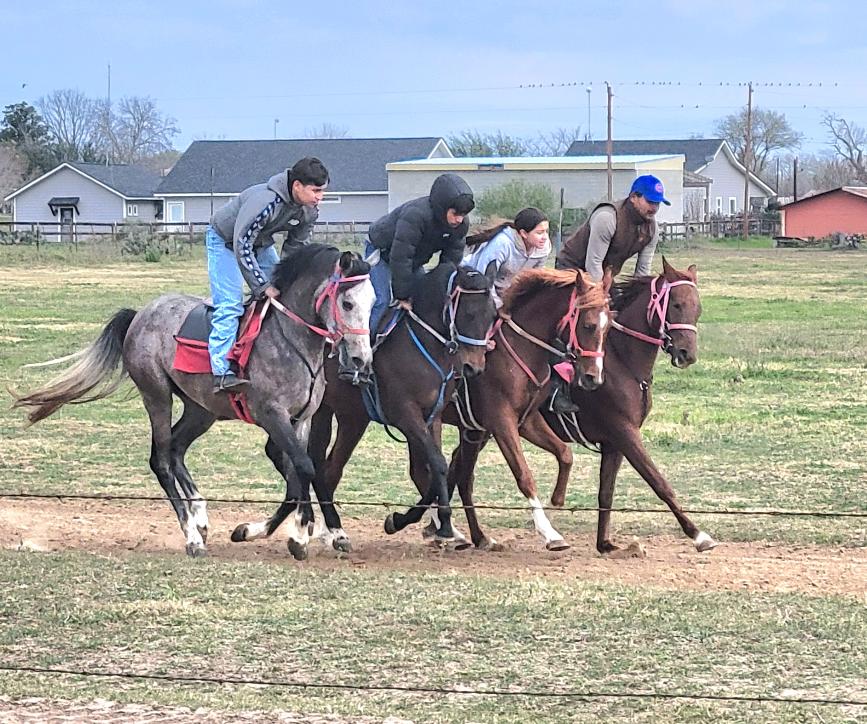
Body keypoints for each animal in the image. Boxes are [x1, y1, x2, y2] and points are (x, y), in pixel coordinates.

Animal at [12, 244, 376, 558]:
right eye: (347, 303)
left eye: (373, 303)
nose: (362, 359)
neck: (290, 340)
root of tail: (140, 314)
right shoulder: (273, 415)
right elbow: (302, 467)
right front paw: (300, 536)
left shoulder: (301, 419)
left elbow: (300, 473)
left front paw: (266, 530)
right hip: (157, 396)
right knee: (161, 459)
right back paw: (191, 535)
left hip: (200, 410)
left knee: (176, 450)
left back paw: (199, 515)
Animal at [298, 262, 498, 554]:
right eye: (469, 313)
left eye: (494, 315)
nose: (474, 367)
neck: (425, 346)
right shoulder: (406, 414)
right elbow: (436, 464)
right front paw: (443, 524)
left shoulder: (432, 416)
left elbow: (434, 469)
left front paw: (403, 520)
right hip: (323, 409)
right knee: (316, 459)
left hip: (352, 417)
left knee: (332, 467)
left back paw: (333, 532)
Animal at [422, 267, 612, 551]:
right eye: (588, 325)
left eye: (608, 326)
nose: (593, 378)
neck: (519, 350)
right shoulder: (502, 422)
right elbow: (524, 475)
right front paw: (550, 533)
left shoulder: (527, 421)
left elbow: (565, 453)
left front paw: (557, 498)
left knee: (462, 476)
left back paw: (474, 535)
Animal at [452, 257, 717, 555]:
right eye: (677, 305)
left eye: (697, 307)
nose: (687, 353)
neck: (622, 360)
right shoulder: (624, 432)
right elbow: (659, 482)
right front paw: (698, 535)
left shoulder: (614, 443)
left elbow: (606, 491)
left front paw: (605, 543)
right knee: (461, 474)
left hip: (478, 429)